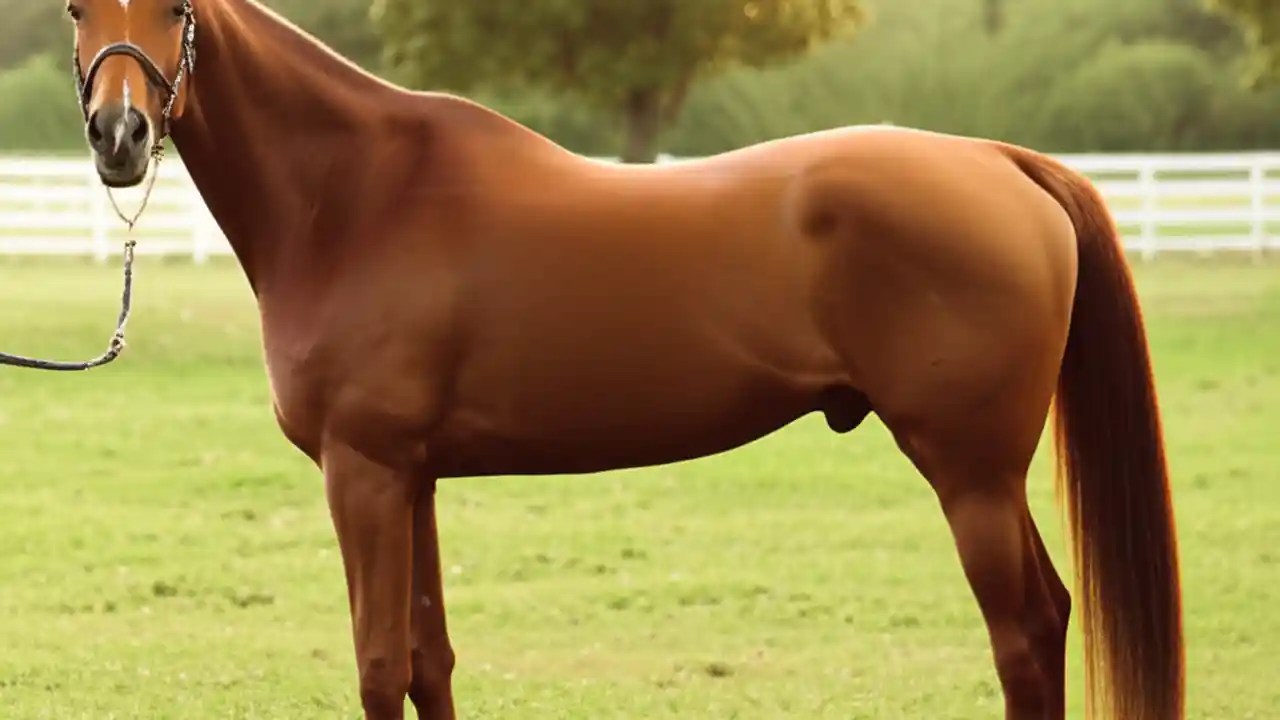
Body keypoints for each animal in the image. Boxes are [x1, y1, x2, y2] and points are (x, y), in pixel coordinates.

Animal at [62, 1, 1184, 718]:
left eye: (175, 5)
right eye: (78, 4)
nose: (119, 134)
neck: (359, 195)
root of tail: (1000, 161)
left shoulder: (364, 472)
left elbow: (379, 664)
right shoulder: (412, 478)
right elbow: (429, 661)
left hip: (971, 475)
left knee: (1026, 632)